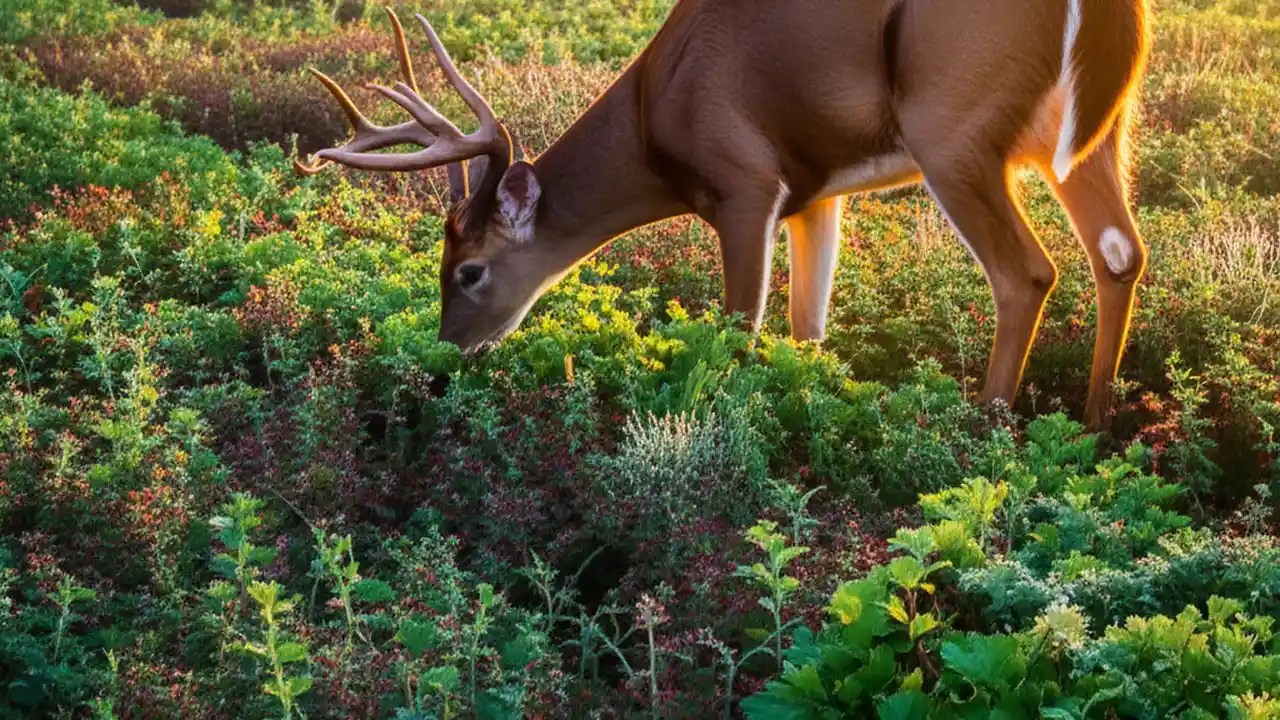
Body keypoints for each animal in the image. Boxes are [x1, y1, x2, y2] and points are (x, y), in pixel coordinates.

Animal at [297, 1, 1151, 429]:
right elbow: (809, 331)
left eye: (468, 270)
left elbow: (738, 329)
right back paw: (1094, 426)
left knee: (1025, 272)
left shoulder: (745, 185)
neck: (655, 117)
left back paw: (987, 429)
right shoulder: (818, 196)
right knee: (1120, 253)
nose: (446, 359)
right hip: (1091, 133)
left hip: (953, 130)